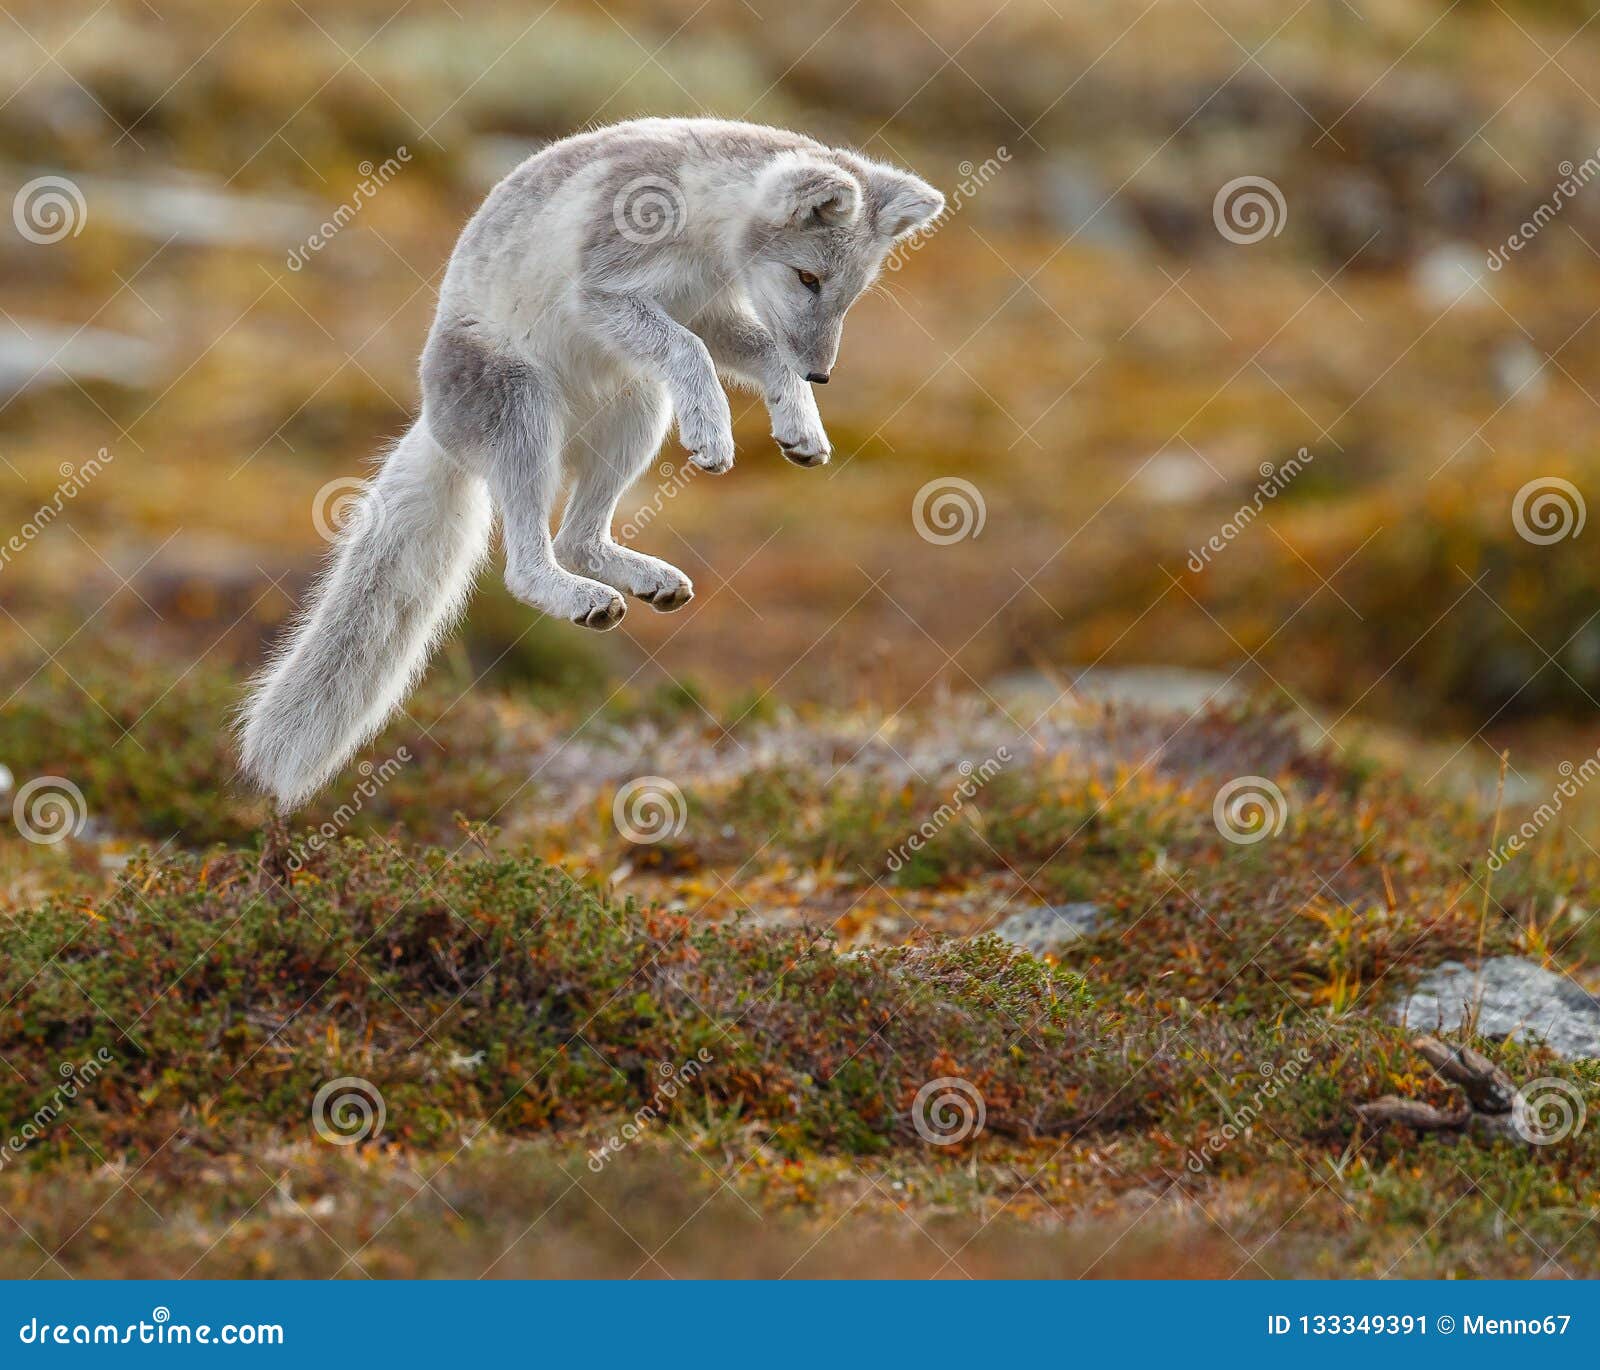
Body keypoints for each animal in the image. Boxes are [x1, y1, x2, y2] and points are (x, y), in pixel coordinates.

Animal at [238, 117, 945, 810]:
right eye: (807, 278)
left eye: (849, 294)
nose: (821, 373)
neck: (703, 225)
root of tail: (436, 425)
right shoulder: (605, 290)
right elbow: (691, 351)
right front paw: (715, 431)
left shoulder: (704, 308)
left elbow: (758, 352)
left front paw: (799, 423)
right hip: (526, 408)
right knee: (526, 564)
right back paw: (577, 595)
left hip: (639, 406)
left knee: (578, 538)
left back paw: (639, 577)